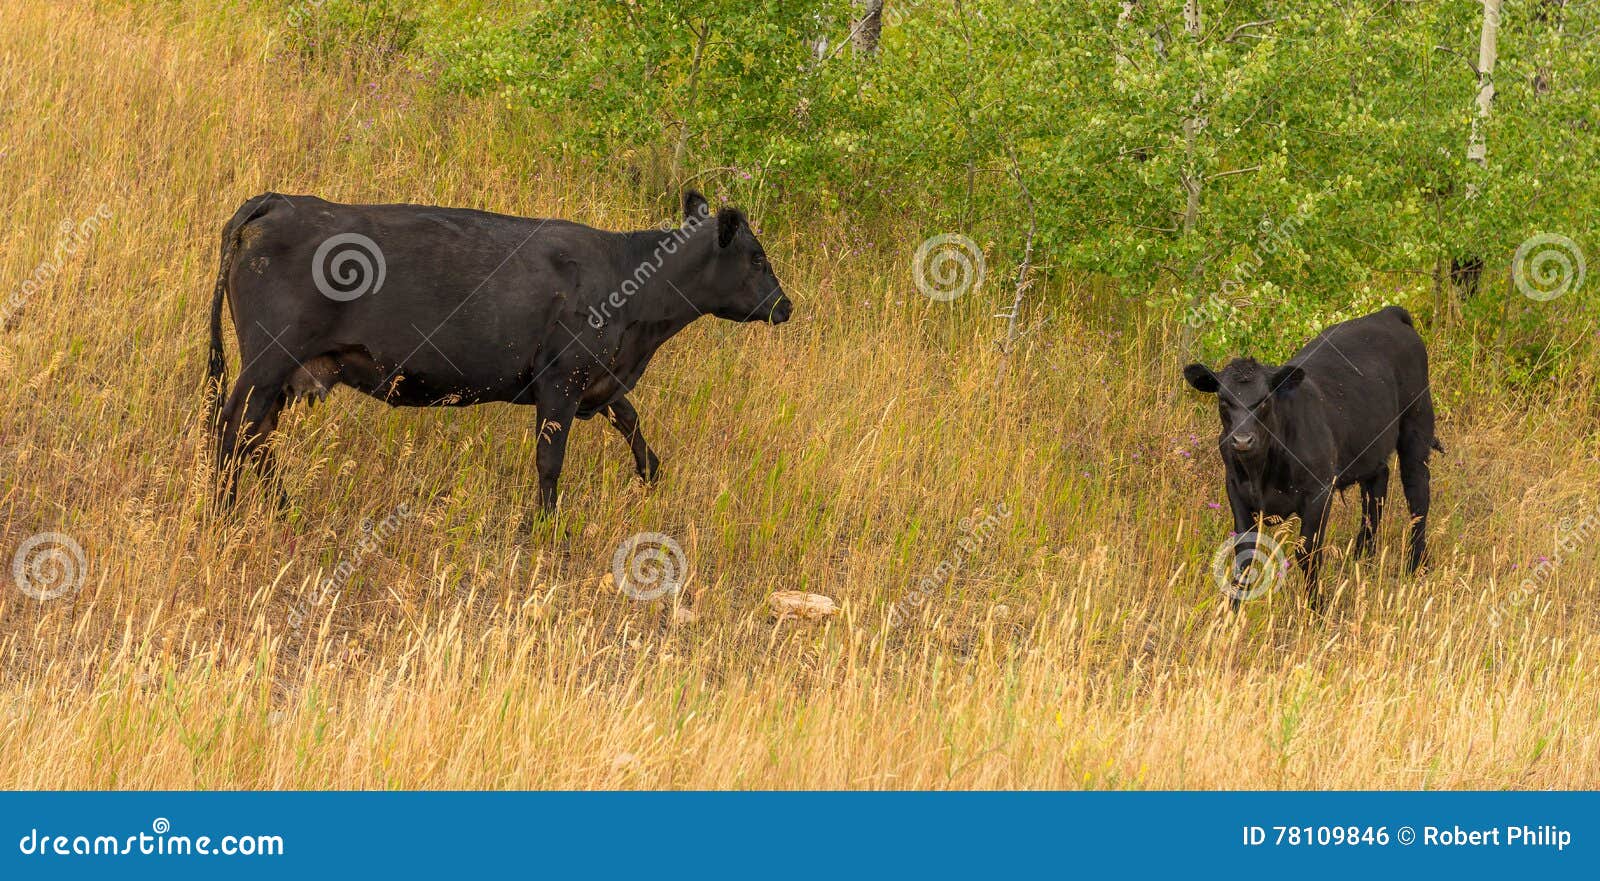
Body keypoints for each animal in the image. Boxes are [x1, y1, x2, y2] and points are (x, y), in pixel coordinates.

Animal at [205, 190, 792, 513]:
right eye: (758, 257)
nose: (786, 306)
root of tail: (277, 201)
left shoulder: (597, 380)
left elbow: (631, 420)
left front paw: (651, 474)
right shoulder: (561, 380)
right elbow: (550, 461)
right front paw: (546, 529)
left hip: (282, 372)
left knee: (256, 436)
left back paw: (283, 510)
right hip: (267, 360)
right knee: (234, 429)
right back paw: (224, 513)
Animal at [1182, 305, 1443, 609]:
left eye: (1264, 400)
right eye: (1224, 400)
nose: (1243, 440)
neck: (1262, 471)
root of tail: (1387, 314)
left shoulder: (1319, 491)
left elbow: (1307, 551)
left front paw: (1315, 607)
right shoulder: (1236, 489)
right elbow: (1244, 552)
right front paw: (1233, 610)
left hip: (1417, 426)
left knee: (1417, 496)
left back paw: (1417, 566)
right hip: (1370, 446)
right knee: (1375, 494)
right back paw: (1362, 560)